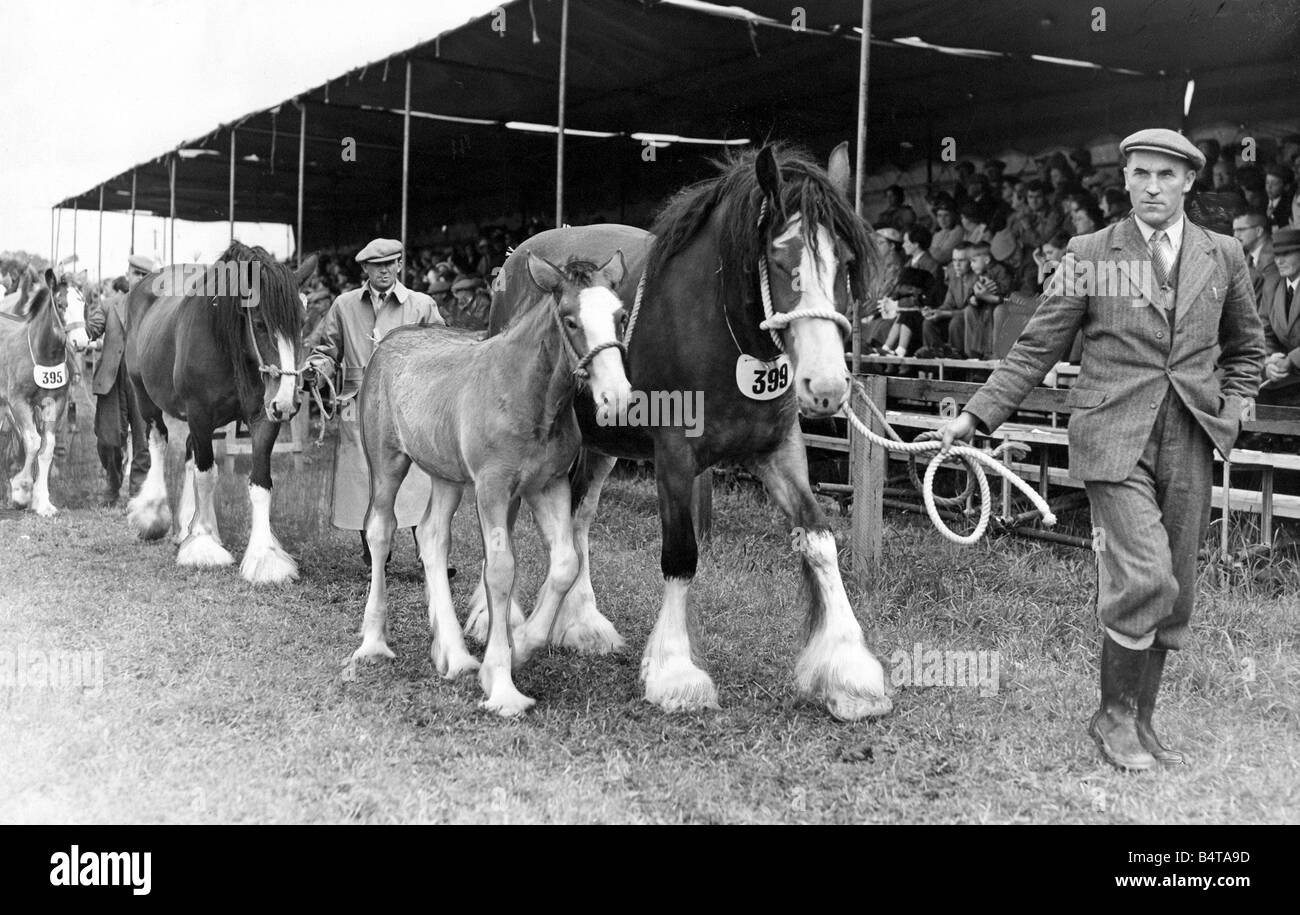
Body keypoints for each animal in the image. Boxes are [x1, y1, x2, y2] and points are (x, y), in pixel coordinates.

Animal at [0, 266, 88, 516]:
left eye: (84, 302)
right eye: (60, 303)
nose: (81, 342)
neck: (42, 355)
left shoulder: (55, 402)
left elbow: (46, 447)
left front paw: (42, 502)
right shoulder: (18, 402)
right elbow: (32, 442)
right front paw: (21, 490)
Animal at [124, 242, 317, 584]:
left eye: (302, 323)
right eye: (260, 324)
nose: (286, 402)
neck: (228, 344)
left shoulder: (262, 417)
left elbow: (260, 483)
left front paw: (264, 556)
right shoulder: (199, 412)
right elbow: (205, 474)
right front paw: (202, 544)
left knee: (189, 452)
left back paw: (190, 524)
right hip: (145, 396)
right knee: (159, 440)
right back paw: (154, 514)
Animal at [351, 252, 632, 716]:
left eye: (620, 316)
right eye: (570, 320)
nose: (618, 397)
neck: (531, 397)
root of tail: (388, 340)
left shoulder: (548, 485)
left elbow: (565, 564)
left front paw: (519, 647)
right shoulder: (493, 487)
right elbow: (500, 571)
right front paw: (501, 684)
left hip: (446, 474)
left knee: (432, 536)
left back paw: (457, 656)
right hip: (387, 459)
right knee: (380, 530)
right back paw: (373, 643)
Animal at [479, 142, 897, 721]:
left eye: (847, 264)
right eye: (781, 259)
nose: (828, 385)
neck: (722, 336)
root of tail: (519, 257)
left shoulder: (780, 451)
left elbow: (818, 540)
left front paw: (849, 671)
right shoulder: (674, 458)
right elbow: (681, 555)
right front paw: (675, 672)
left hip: (599, 444)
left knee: (578, 521)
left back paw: (581, 621)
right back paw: (491, 618)